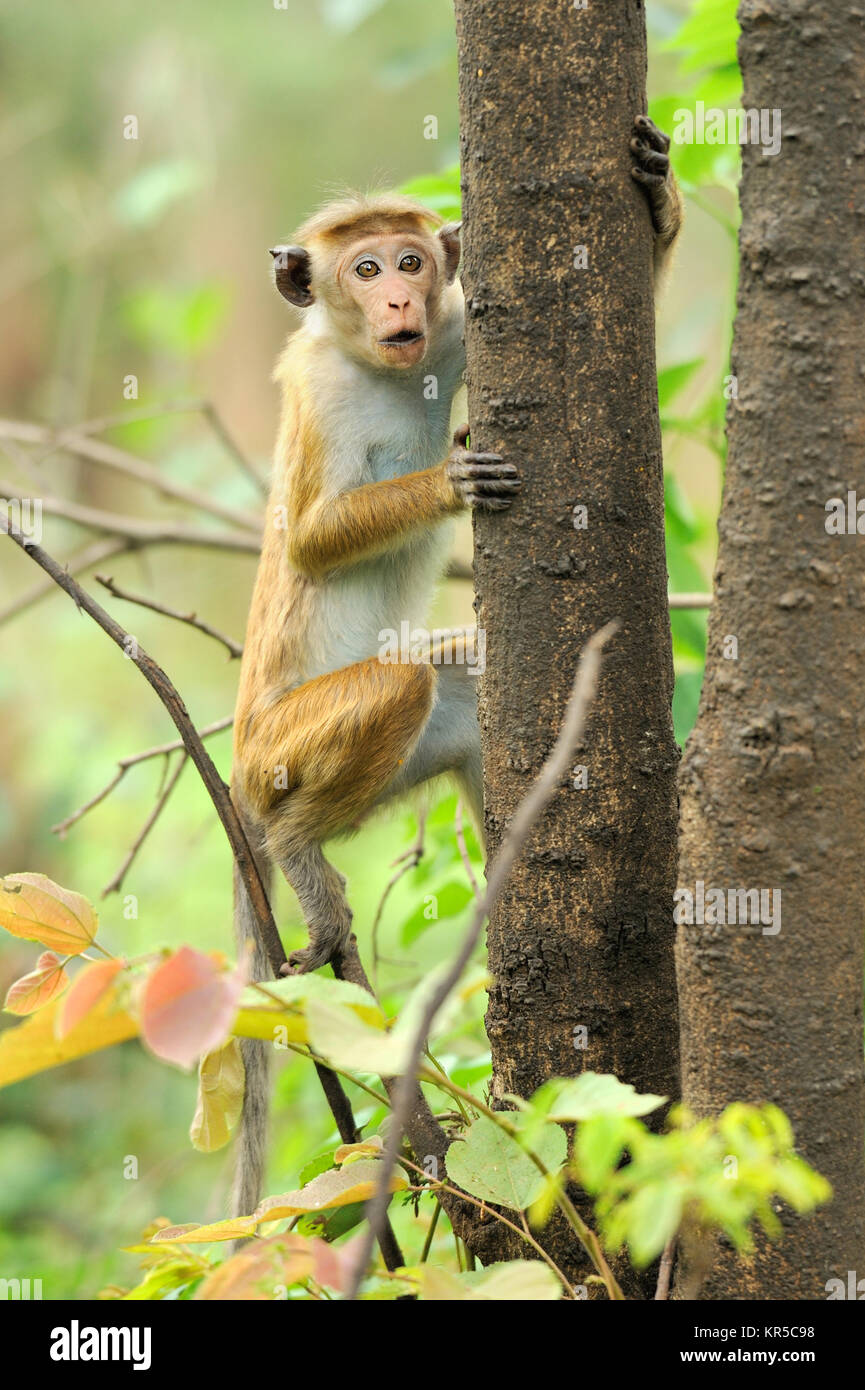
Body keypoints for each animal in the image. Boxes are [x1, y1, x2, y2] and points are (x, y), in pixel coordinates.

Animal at [229, 115, 681, 1219]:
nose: (396, 298)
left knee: (465, 682)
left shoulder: (450, 334)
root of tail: (237, 766)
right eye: (363, 267)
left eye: (410, 262)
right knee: (396, 688)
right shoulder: (318, 392)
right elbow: (310, 538)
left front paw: (654, 195)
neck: (385, 366)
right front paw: (452, 476)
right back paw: (298, 850)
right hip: (279, 749)